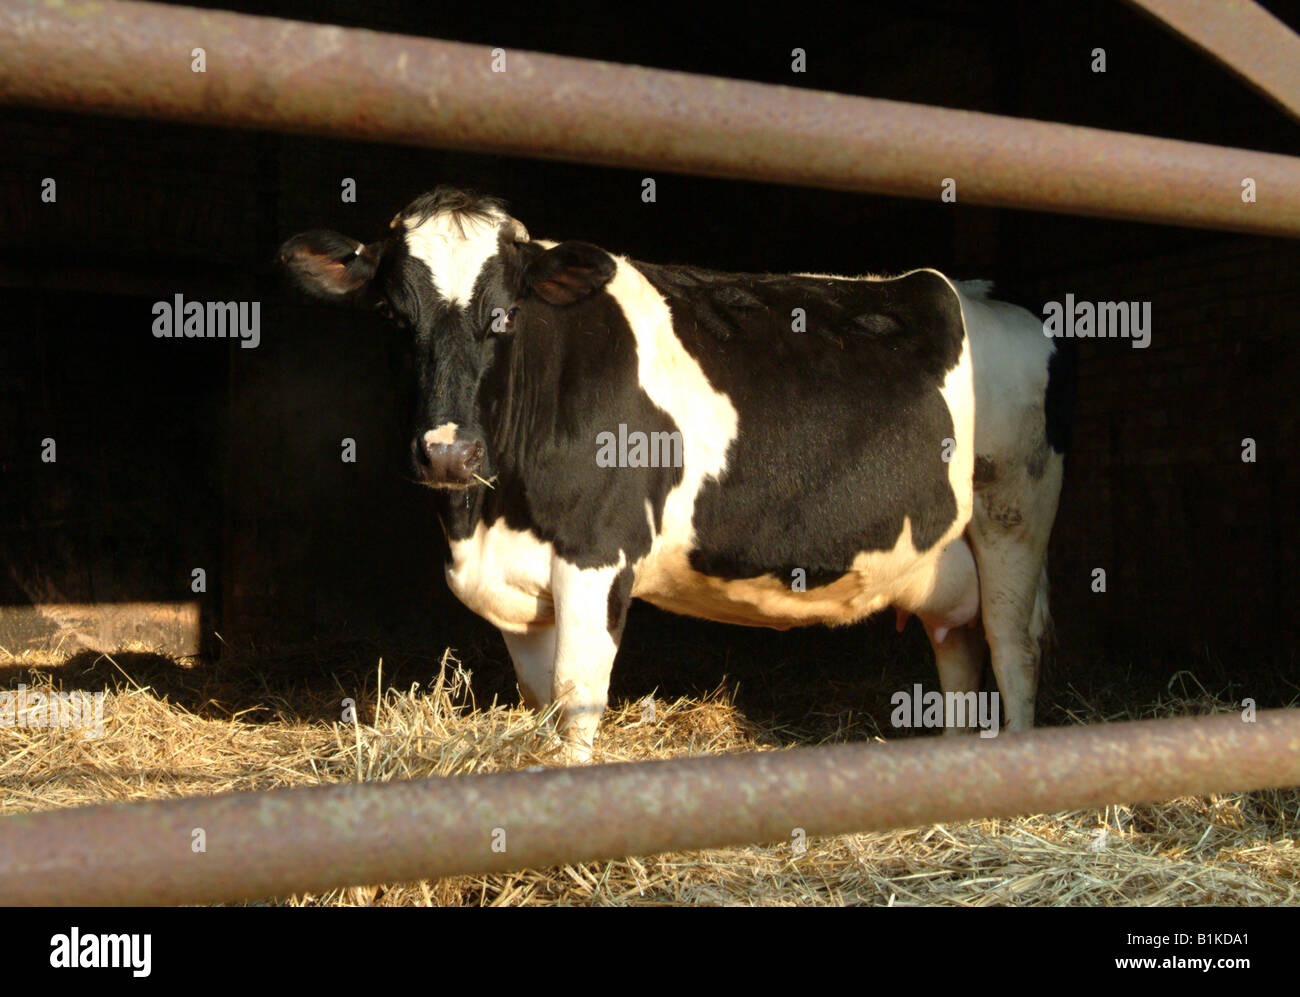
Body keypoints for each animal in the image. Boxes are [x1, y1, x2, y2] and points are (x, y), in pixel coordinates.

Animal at [279, 186, 1073, 762]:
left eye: (504, 313)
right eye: (391, 314)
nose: (447, 452)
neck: (482, 522)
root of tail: (977, 294)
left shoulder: (597, 557)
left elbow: (576, 700)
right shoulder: (517, 585)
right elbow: (541, 705)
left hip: (1013, 513)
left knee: (1012, 644)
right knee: (958, 647)